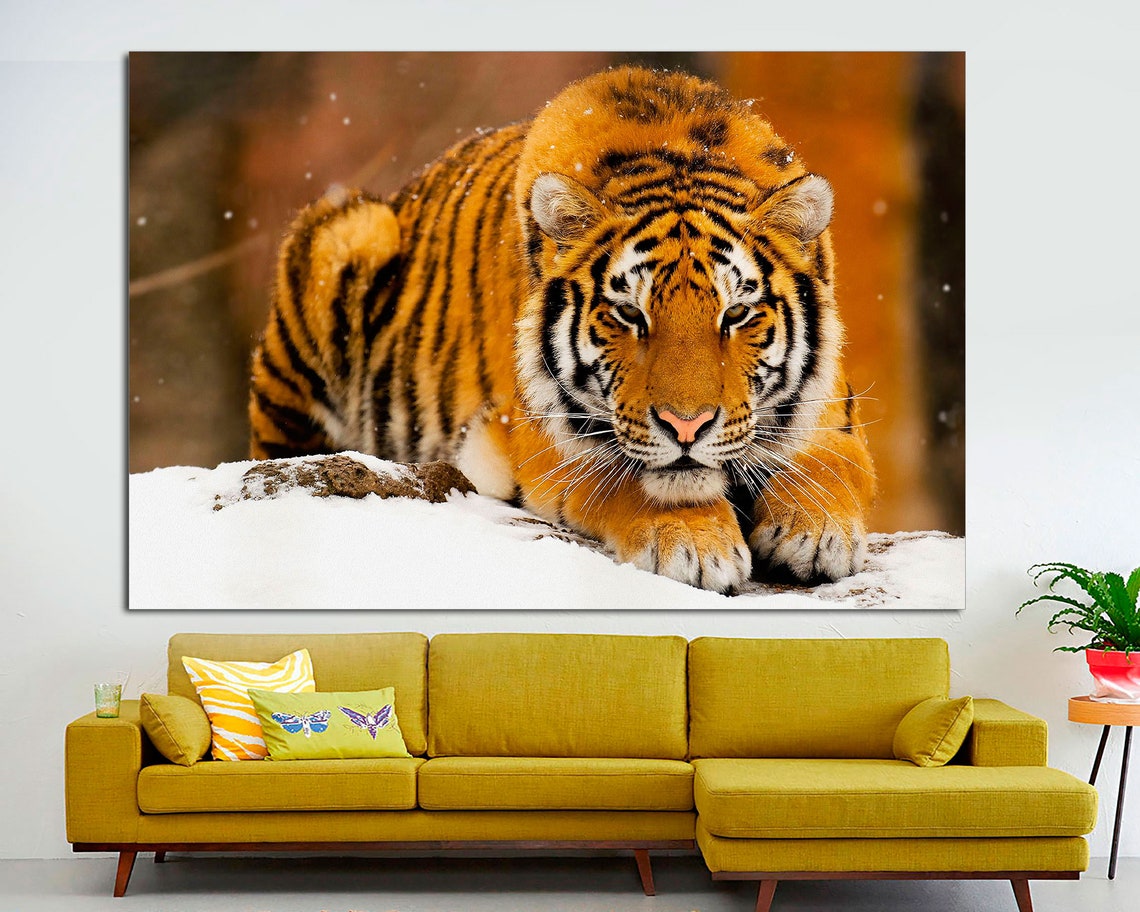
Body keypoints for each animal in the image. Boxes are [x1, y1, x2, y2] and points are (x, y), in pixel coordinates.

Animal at [249, 66, 875, 593]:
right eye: (630, 314)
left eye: (736, 314)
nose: (686, 426)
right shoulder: (540, 434)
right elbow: (625, 475)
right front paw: (695, 544)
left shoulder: (831, 410)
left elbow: (828, 463)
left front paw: (814, 532)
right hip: (346, 235)